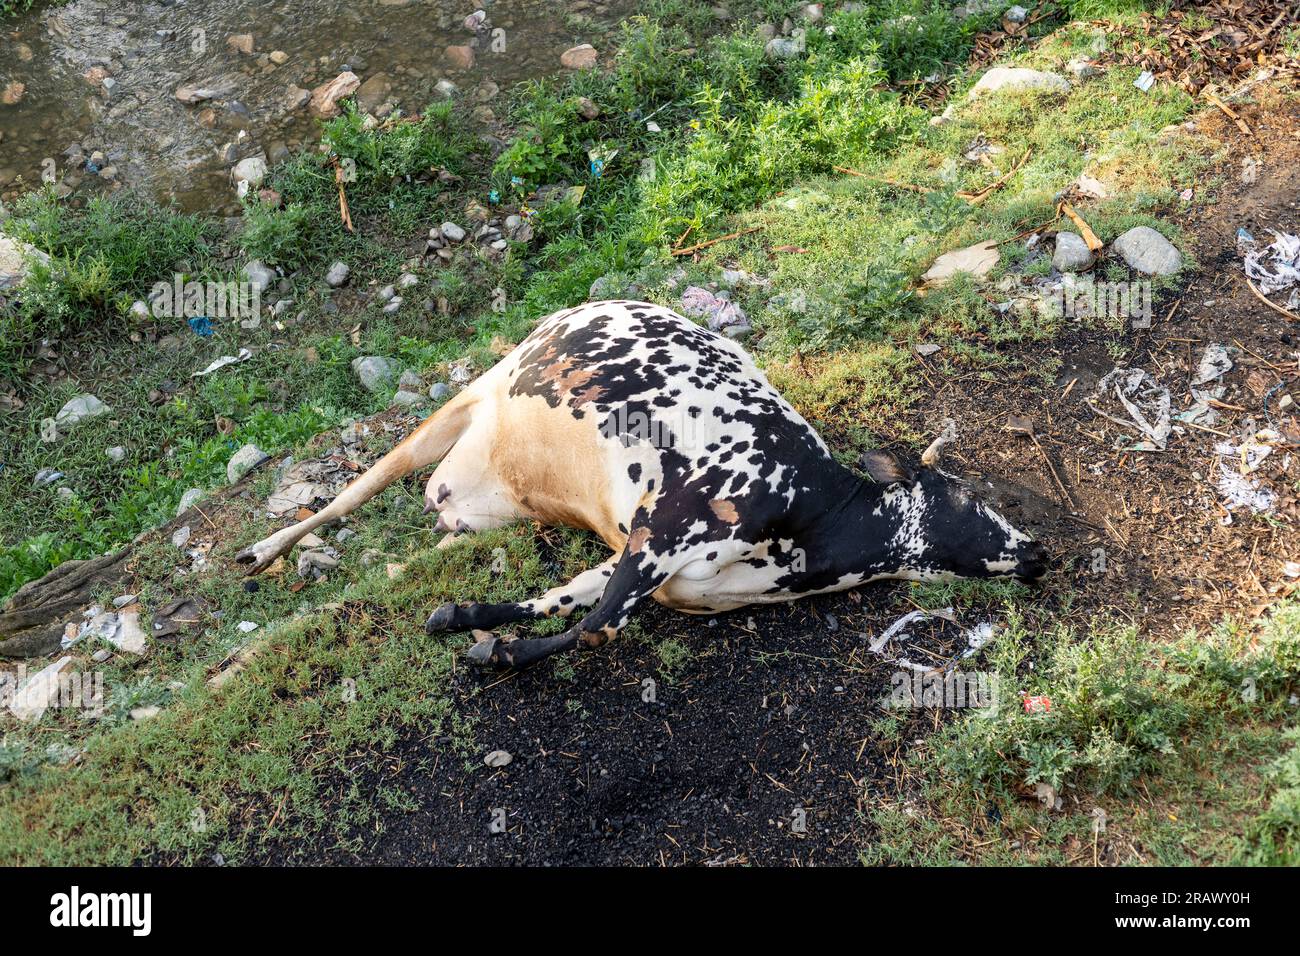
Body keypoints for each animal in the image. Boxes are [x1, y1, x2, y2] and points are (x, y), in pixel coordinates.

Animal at [237, 300, 1049, 668]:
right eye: (977, 496)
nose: (1041, 551)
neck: (812, 528)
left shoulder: (638, 551)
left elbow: (563, 596)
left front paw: (466, 618)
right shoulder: (665, 526)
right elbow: (600, 624)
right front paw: (499, 653)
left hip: (479, 510)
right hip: (465, 398)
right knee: (351, 492)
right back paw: (260, 552)